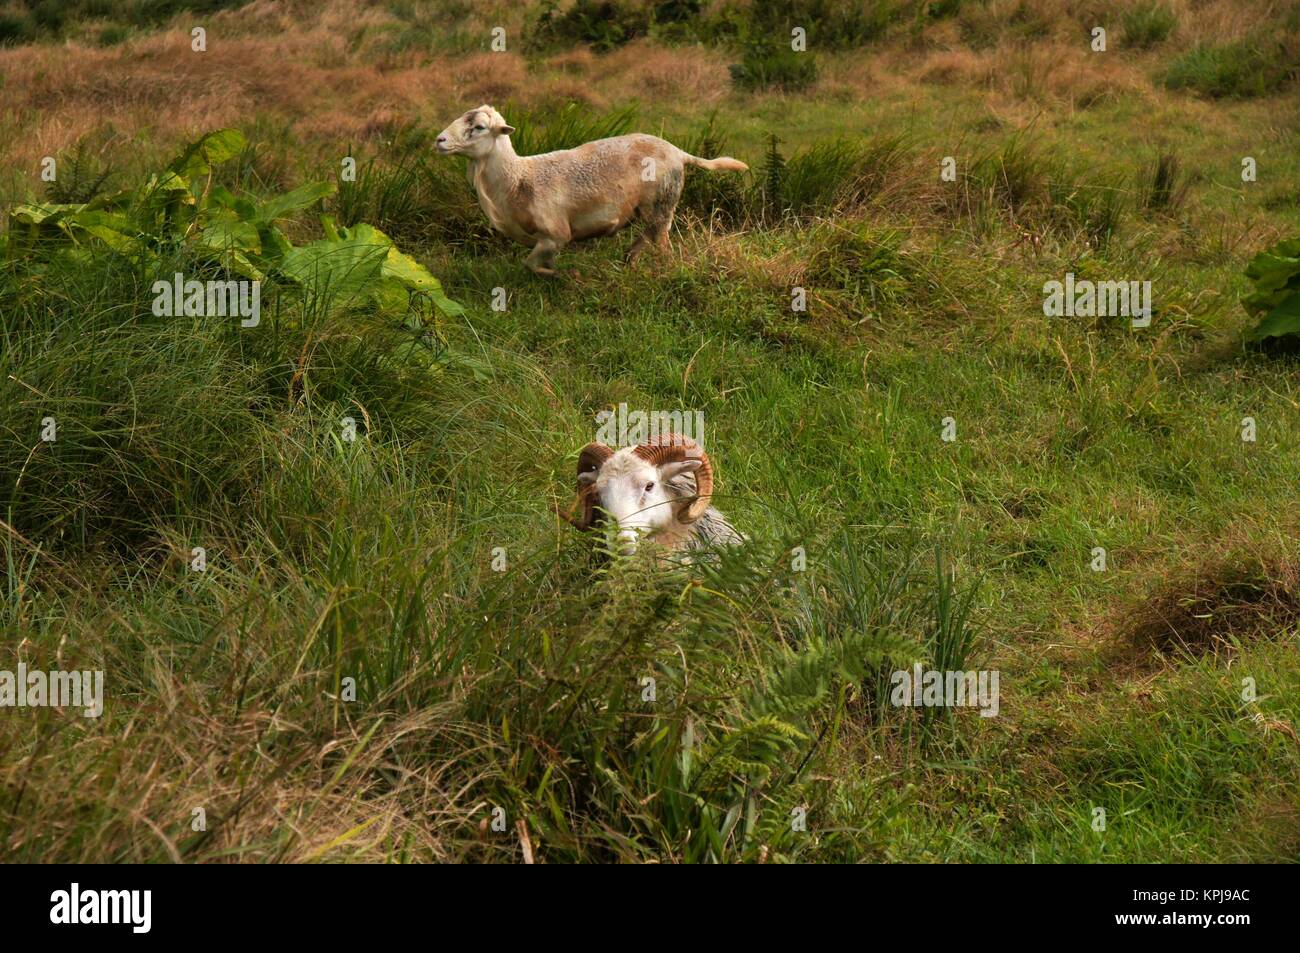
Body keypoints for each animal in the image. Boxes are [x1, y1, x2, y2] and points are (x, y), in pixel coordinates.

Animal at [435, 105, 748, 275]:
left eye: (479, 127)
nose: (439, 140)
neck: (518, 179)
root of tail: (678, 152)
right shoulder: (547, 240)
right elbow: (536, 263)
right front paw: (556, 273)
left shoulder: (556, 234)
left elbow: (530, 264)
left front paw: (563, 275)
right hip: (652, 209)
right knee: (647, 235)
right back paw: (629, 262)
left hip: (663, 203)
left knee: (661, 244)